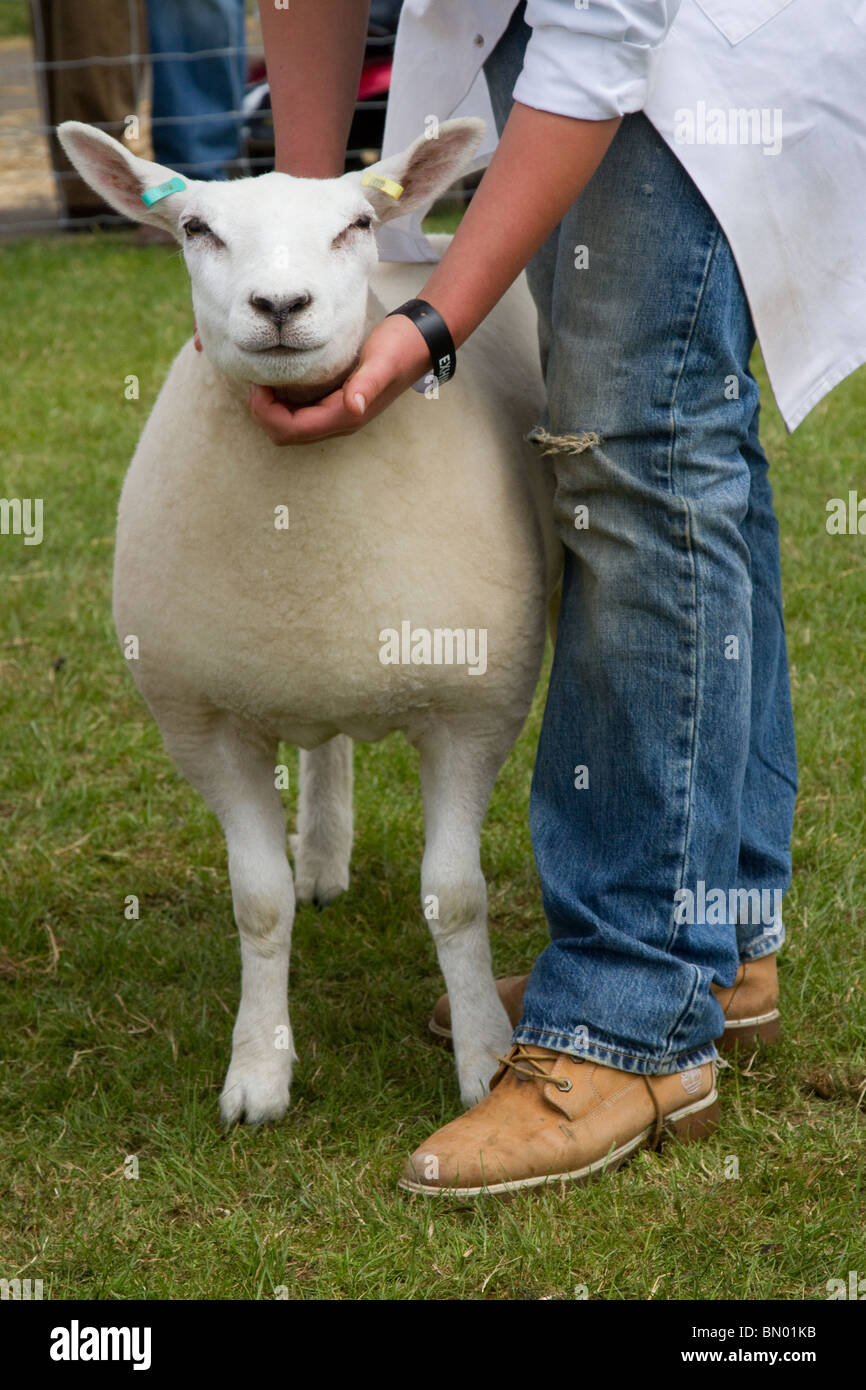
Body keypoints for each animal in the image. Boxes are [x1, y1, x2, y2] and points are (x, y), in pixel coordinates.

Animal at [57, 118, 561, 1126]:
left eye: (355, 225)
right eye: (196, 229)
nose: (281, 304)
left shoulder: (474, 711)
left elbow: (455, 896)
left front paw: (485, 1059)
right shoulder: (205, 726)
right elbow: (259, 905)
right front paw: (258, 1072)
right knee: (325, 747)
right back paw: (323, 858)